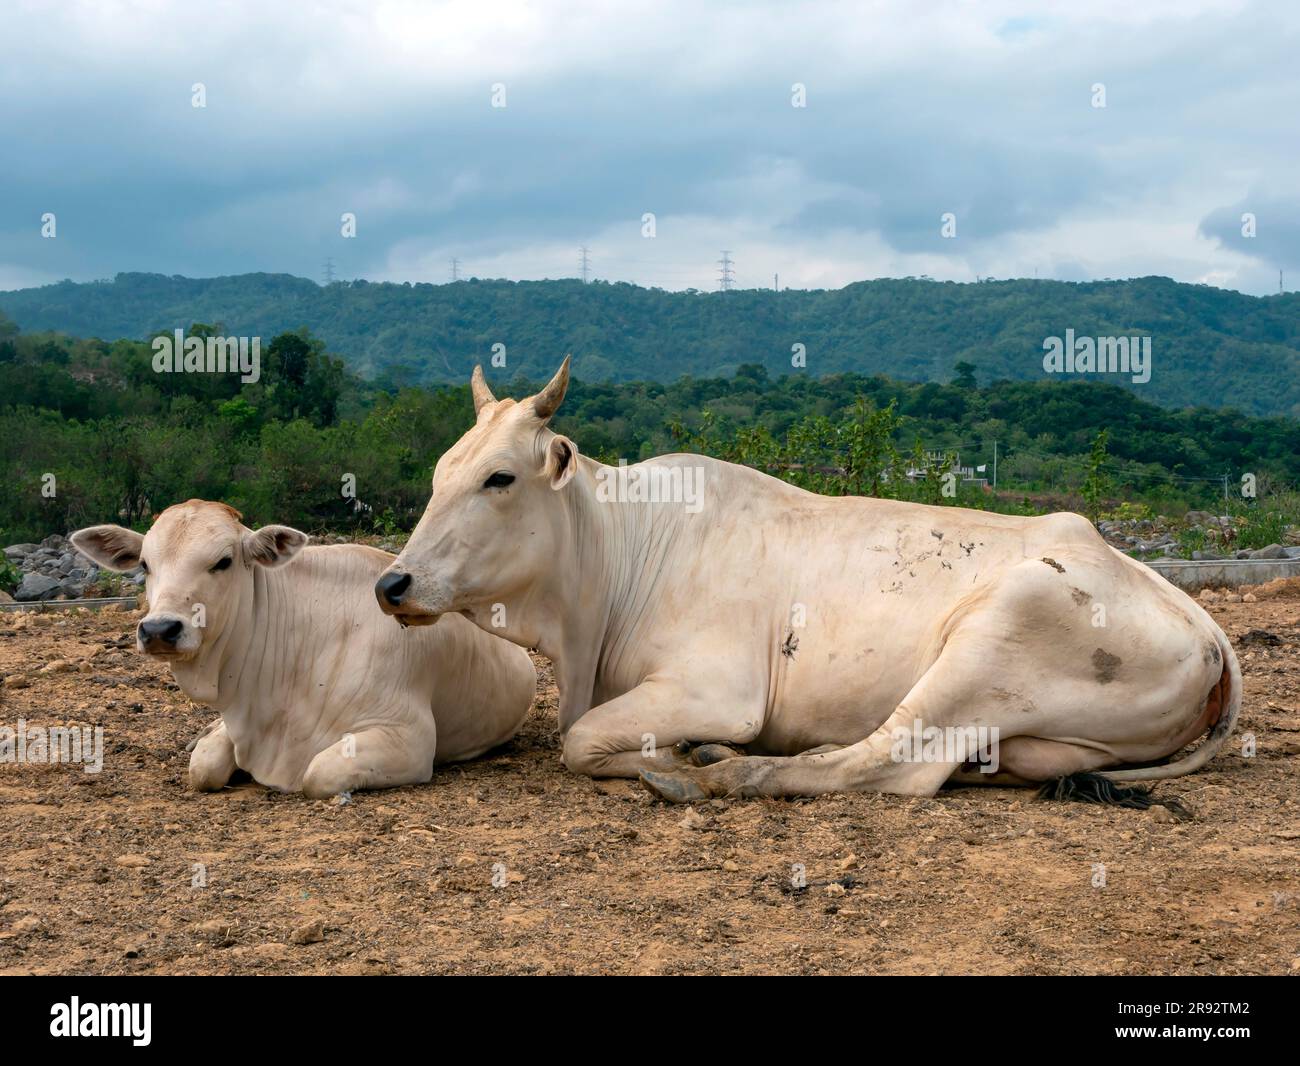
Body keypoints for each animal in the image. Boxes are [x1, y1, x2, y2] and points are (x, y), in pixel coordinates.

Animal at [72, 501, 536, 798]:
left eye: (223, 561)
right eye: (144, 565)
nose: (159, 629)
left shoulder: (408, 738)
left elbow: (317, 774)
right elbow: (203, 769)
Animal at [373, 359, 1240, 805]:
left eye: (499, 477)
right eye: (439, 472)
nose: (392, 583)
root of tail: (1204, 625)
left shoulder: (717, 687)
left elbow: (582, 740)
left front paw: (677, 760)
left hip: (1002, 630)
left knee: (888, 765)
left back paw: (722, 772)